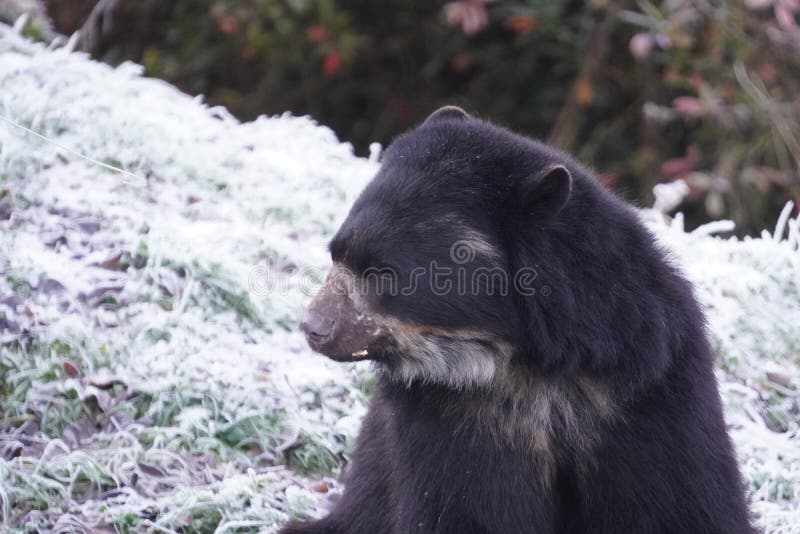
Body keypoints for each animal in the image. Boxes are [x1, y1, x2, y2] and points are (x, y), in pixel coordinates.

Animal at [282, 106, 755, 533]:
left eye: (383, 272)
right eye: (337, 254)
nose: (315, 328)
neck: (526, 361)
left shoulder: (647, 389)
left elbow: (677, 501)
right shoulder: (455, 414)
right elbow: (467, 508)